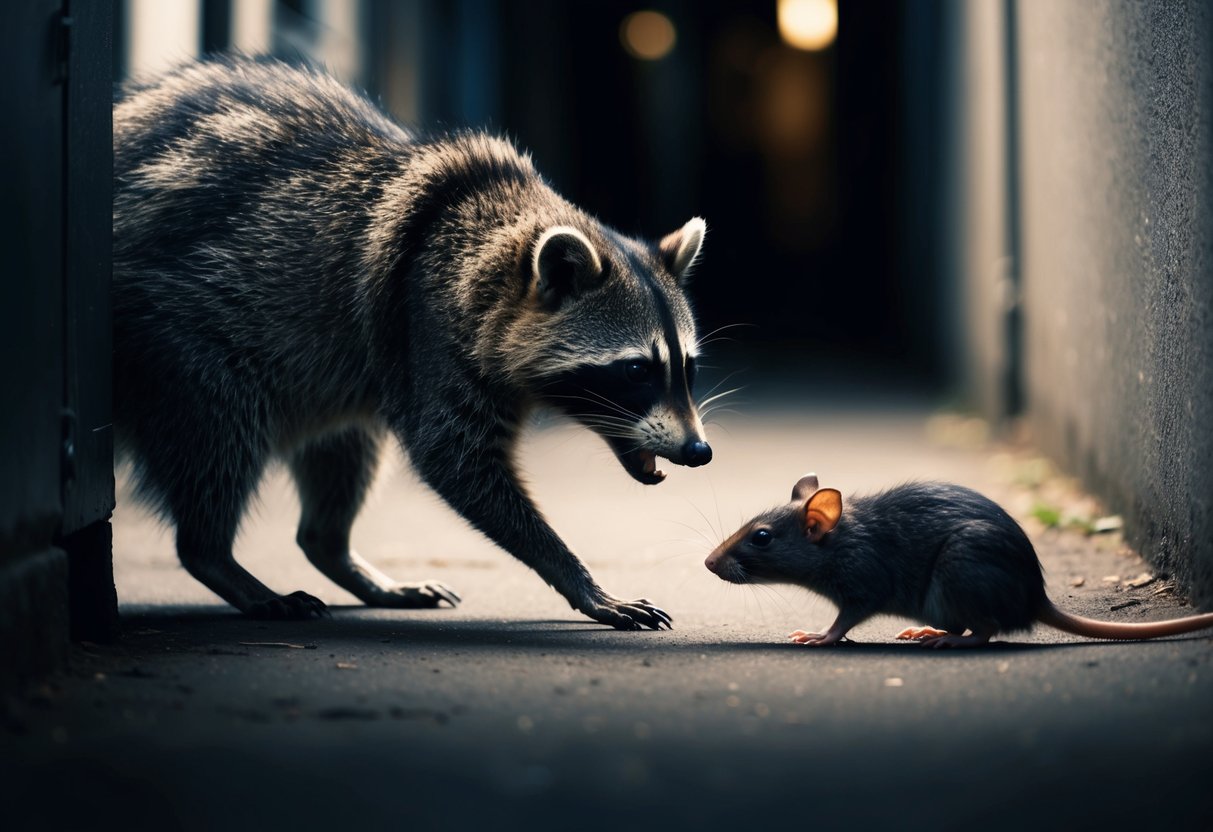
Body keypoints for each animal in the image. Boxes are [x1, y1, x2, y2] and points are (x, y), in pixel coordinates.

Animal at [112, 56, 712, 628]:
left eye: (687, 367)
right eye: (636, 370)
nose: (699, 452)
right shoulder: (427, 324)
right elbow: (452, 457)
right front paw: (575, 575)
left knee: (345, 450)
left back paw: (334, 550)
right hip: (182, 347)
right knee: (218, 436)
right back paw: (214, 554)